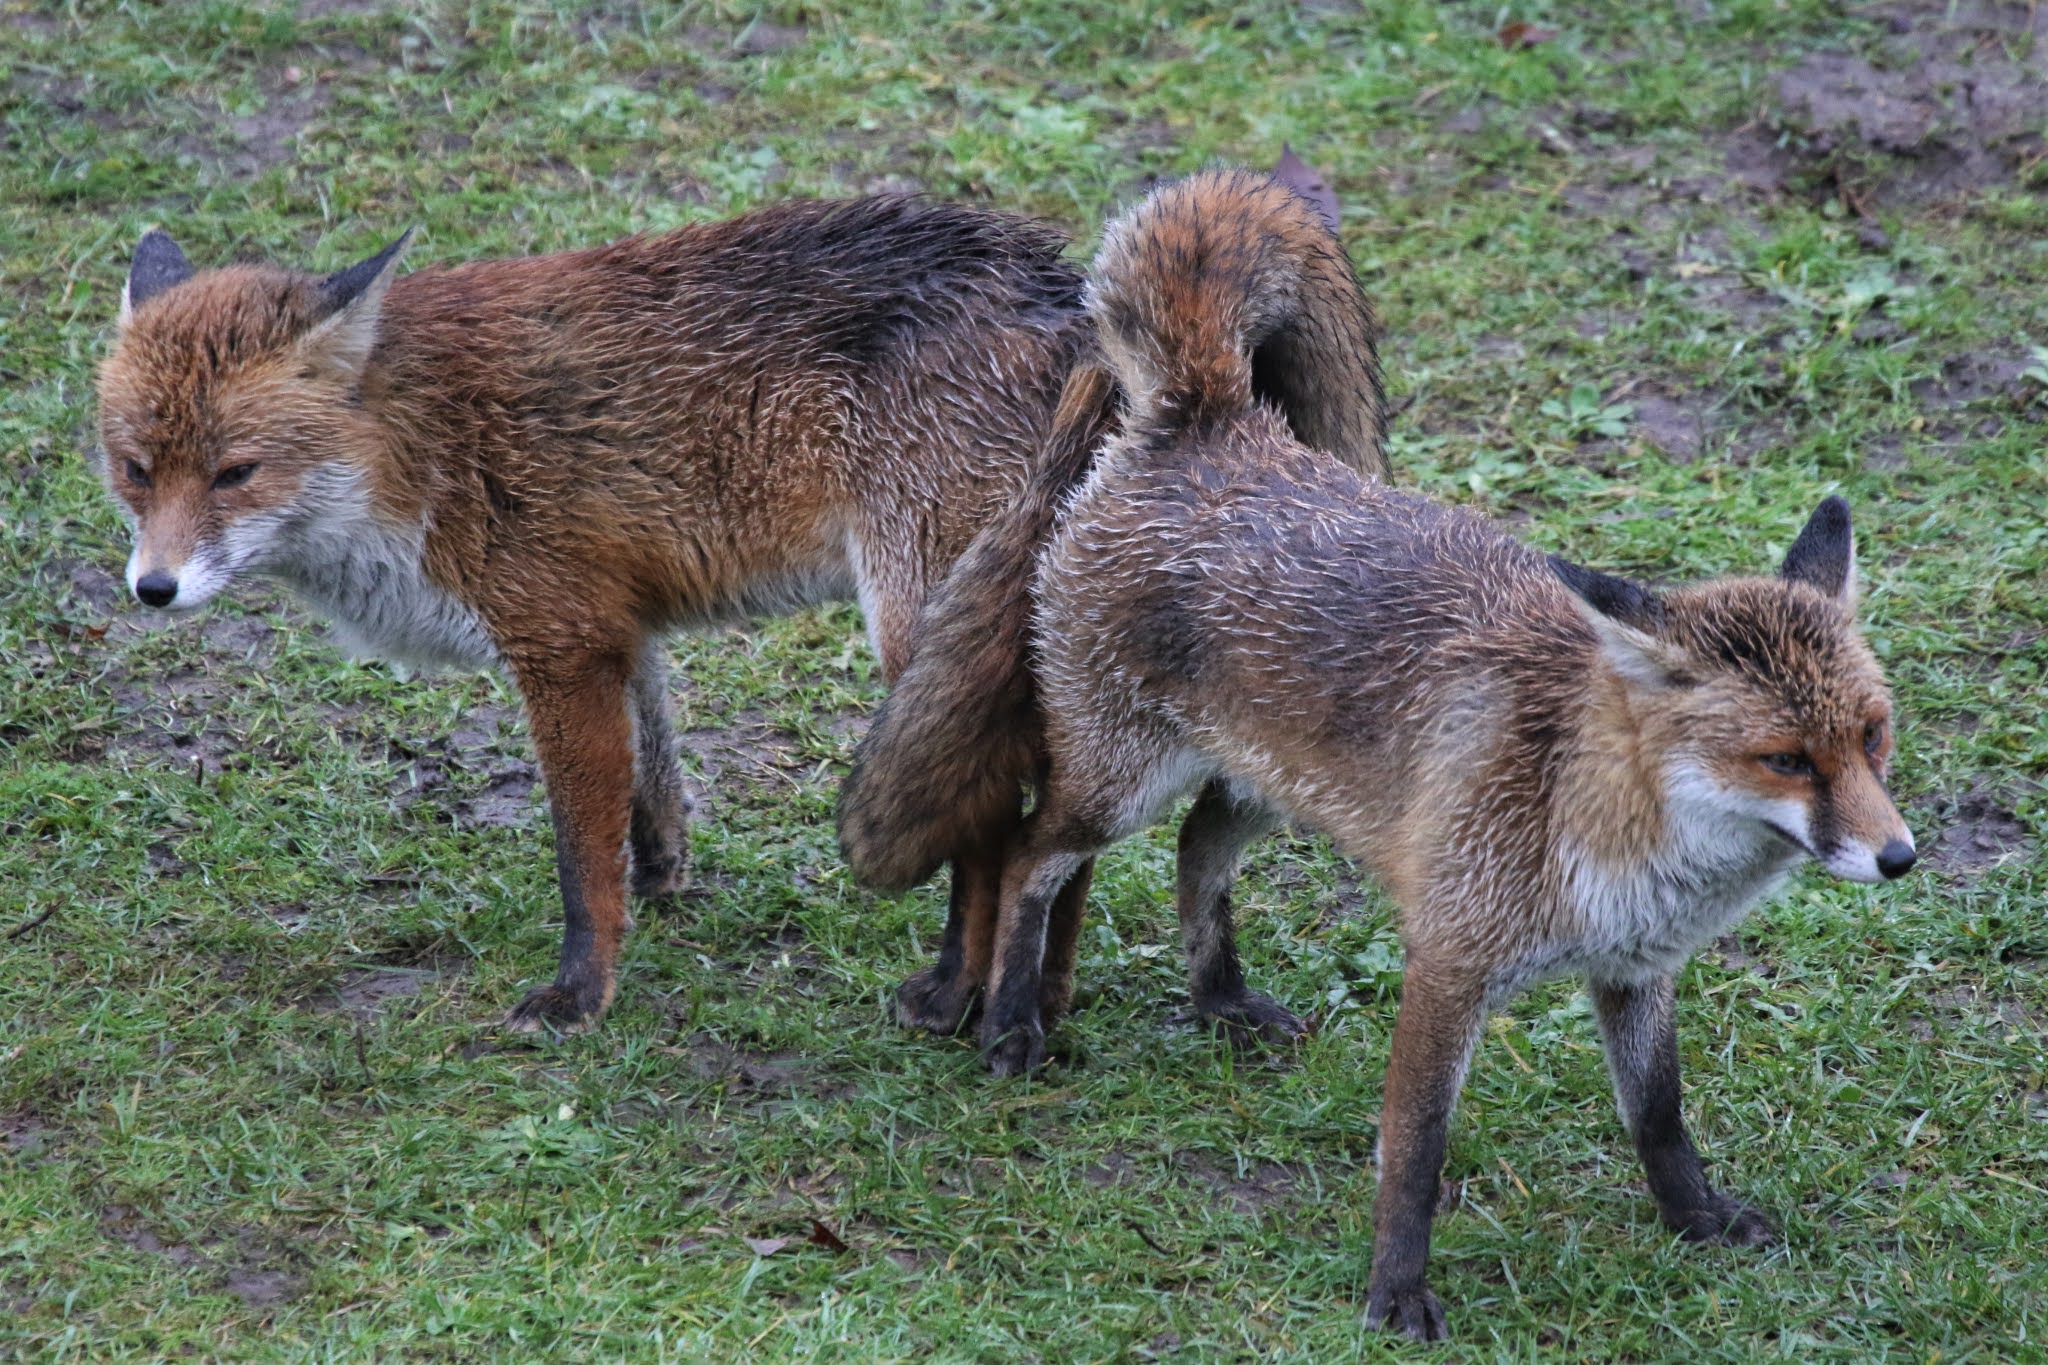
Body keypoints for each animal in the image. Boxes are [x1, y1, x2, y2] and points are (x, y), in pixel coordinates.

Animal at [94, 197, 1113, 1034]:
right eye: (136, 469)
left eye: (236, 473)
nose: (153, 589)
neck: (417, 451)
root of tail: (1075, 300)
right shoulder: (622, 625)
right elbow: (653, 786)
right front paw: (663, 884)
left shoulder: (562, 645)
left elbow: (581, 857)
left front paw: (582, 994)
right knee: (1059, 827)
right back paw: (1040, 1002)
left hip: (922, 638)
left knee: (996, 826)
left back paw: (955, 998)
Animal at [837, 170, 1389, 1037]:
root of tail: (1206, 409)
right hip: (1129, 772)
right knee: (1034, 851)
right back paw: (1013, 1027)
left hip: (1250, 785)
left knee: (1184, 862)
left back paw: (1214, 1001)